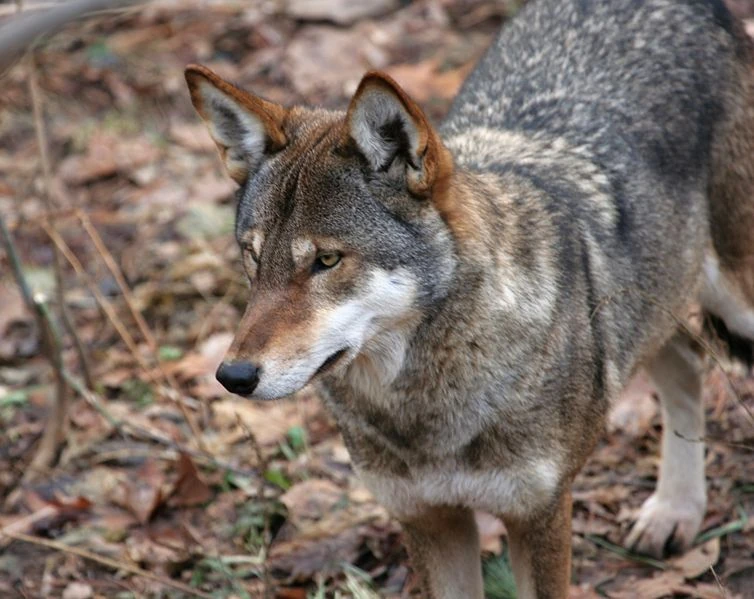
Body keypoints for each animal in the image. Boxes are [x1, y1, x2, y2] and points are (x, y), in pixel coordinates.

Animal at [185, 0, 754, 596]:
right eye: (253, 257)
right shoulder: (429, 521)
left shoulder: (539, 515)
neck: (424, 409)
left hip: (732, 299)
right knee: (687, 363)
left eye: (327, 261)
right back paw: (675, 511)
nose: (233, 376)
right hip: (645, 316)